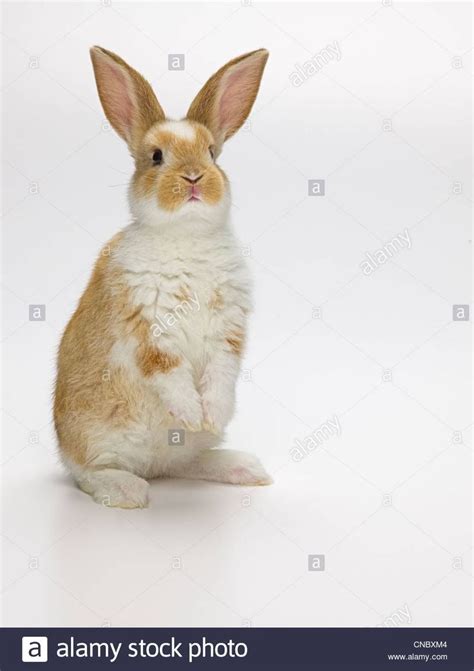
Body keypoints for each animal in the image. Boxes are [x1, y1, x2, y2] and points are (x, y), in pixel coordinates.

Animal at [54, 46, 272, 508]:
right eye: (156, 157)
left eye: (212, 153)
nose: (193, 178)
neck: (186, 235)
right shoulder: (149, 326)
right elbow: (169, 372)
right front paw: (190, 412)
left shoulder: (229, 330)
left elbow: (222, 373)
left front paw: (211, 415)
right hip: (96, 439)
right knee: (88, 473)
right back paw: (129, 491)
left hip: (181, 454)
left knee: (185, 464)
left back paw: (243, 466)